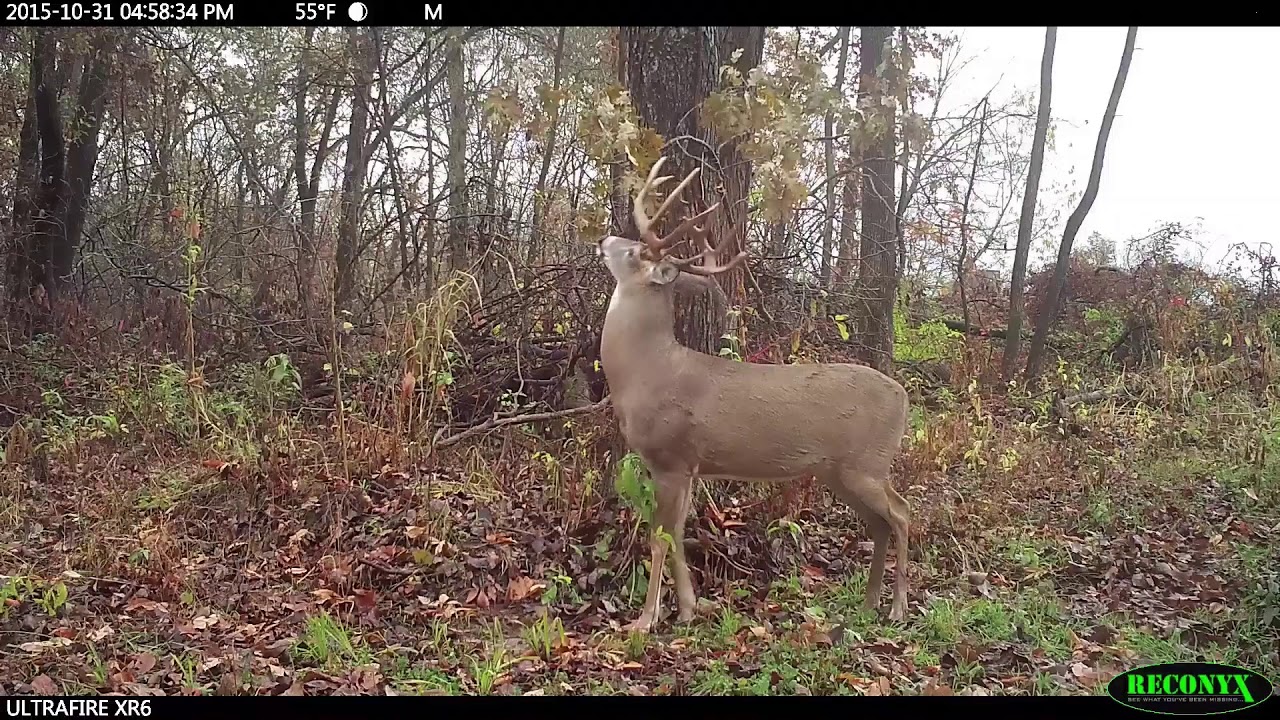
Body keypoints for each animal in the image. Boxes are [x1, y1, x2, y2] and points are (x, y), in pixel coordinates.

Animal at [595, 156, 913, 633]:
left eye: (634, 252)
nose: (605, 239)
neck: (646, 372)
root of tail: (904, 398)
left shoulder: (670, 458)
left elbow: (660, 536)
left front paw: (646, 620)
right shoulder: (690, 466)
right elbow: (679, 535)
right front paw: (688, 608)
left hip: (867, 463)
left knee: (902, 514)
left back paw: (897, 606)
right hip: (840, 471)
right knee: (879, 523)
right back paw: (870, 602)